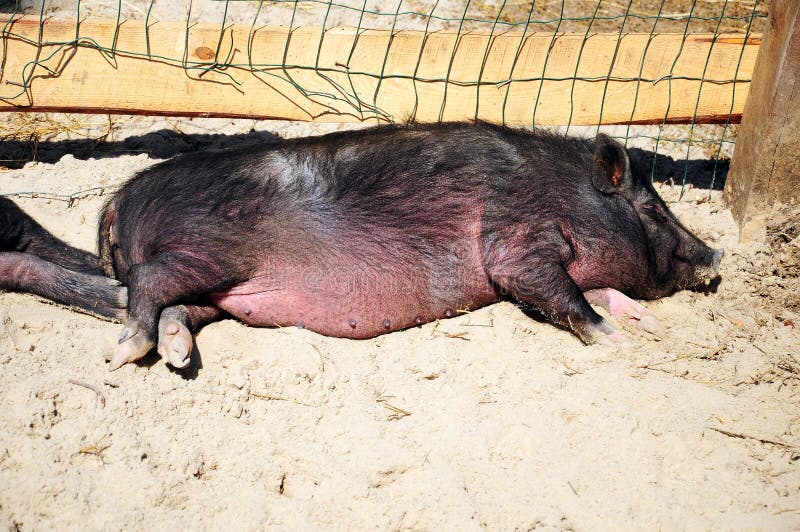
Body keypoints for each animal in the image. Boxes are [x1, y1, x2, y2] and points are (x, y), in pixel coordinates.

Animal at [2, 123, 723, 371]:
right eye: (653, 208)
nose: (716, 257)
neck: (562, 193)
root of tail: (119, 199)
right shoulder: (516, 243)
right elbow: (564, 295)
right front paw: (616, 341)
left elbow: (601, 288)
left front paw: (645, 322)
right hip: (209, 249)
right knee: (148, 286)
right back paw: (128, 355)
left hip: (221, 287)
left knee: (171, 306)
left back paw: (176, 352)